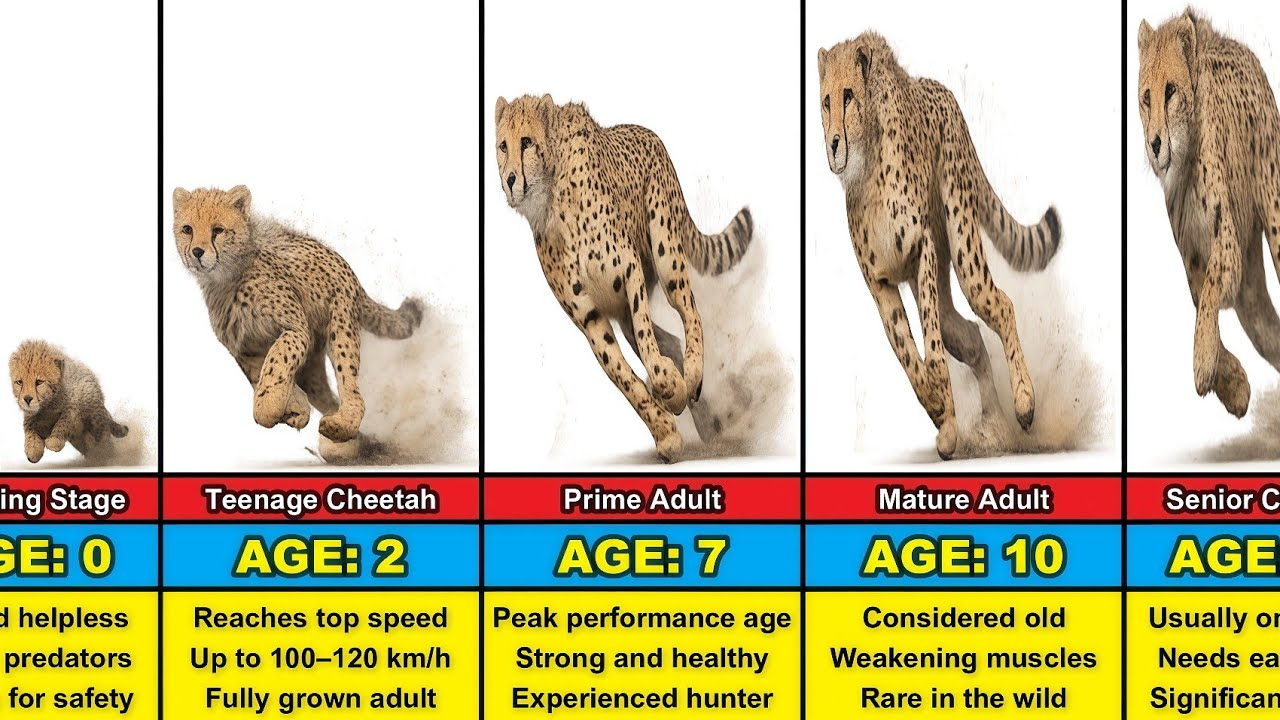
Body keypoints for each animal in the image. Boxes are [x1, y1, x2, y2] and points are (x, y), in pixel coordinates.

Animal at [172, 185, 423, 443]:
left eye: (218, 230)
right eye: (187, 229)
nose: (197, 252)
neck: (228, 277)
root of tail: (350, 272)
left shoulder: (296, 328)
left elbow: (276, 363)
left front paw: (268, 407)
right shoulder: (245, 348)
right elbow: (265, 374)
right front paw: (294, 408)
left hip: (340, 327)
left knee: (350, 384)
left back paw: (342, 425)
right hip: (313, 364)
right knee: (324, 394)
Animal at [494, 94, 753, 462]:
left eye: (527, 142)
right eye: (503, 146)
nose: (511, 180)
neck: (551, 197)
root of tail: (648, 132)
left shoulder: (630, 271)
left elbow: (647, 343)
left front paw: (669, 387)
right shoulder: (589, 317)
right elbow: (622, 375)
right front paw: (666, 431)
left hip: (666, 256)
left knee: (689, 313)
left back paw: (692, 378)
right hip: (628, 309)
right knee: (668, 340)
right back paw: (704, 419)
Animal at [818, 33, 1063, 460]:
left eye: (848, 96)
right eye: (826, 101)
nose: (833, 144)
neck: (867, 168)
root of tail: (944, 91)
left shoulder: (923, 252)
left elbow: (929, 339)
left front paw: (944, 407)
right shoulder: (879, 283)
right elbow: (905, 352)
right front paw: (940, 413)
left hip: (964, 252)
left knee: (999, 305)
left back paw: (1023, 403)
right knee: (970, 337)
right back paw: (994, 427)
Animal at [1138, 7, 1280, 418]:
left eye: (1171, 91)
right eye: (1146, 97)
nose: (1154, 144)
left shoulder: (1225, 245)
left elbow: (1208, 306)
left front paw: (1203, 365)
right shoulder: (1195, 260)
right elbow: (1204, 307)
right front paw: (1233, 384)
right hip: (1252, 289)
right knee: (1268, 330)